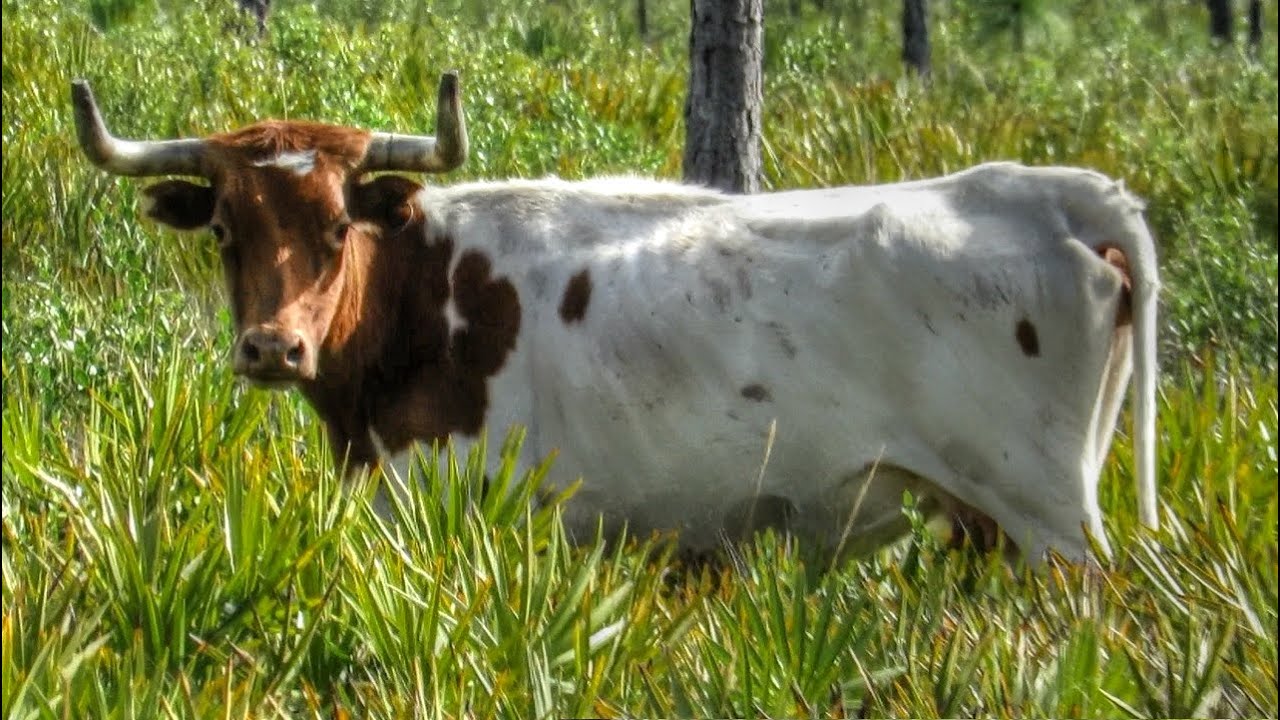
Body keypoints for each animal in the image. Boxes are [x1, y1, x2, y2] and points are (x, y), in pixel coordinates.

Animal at [70, 72, 1160, 566]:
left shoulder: (461, 511)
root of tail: (1047, 191)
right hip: (987, 521)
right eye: (224, 228)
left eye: (340, 225)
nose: (272, 346)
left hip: (1052, 521)